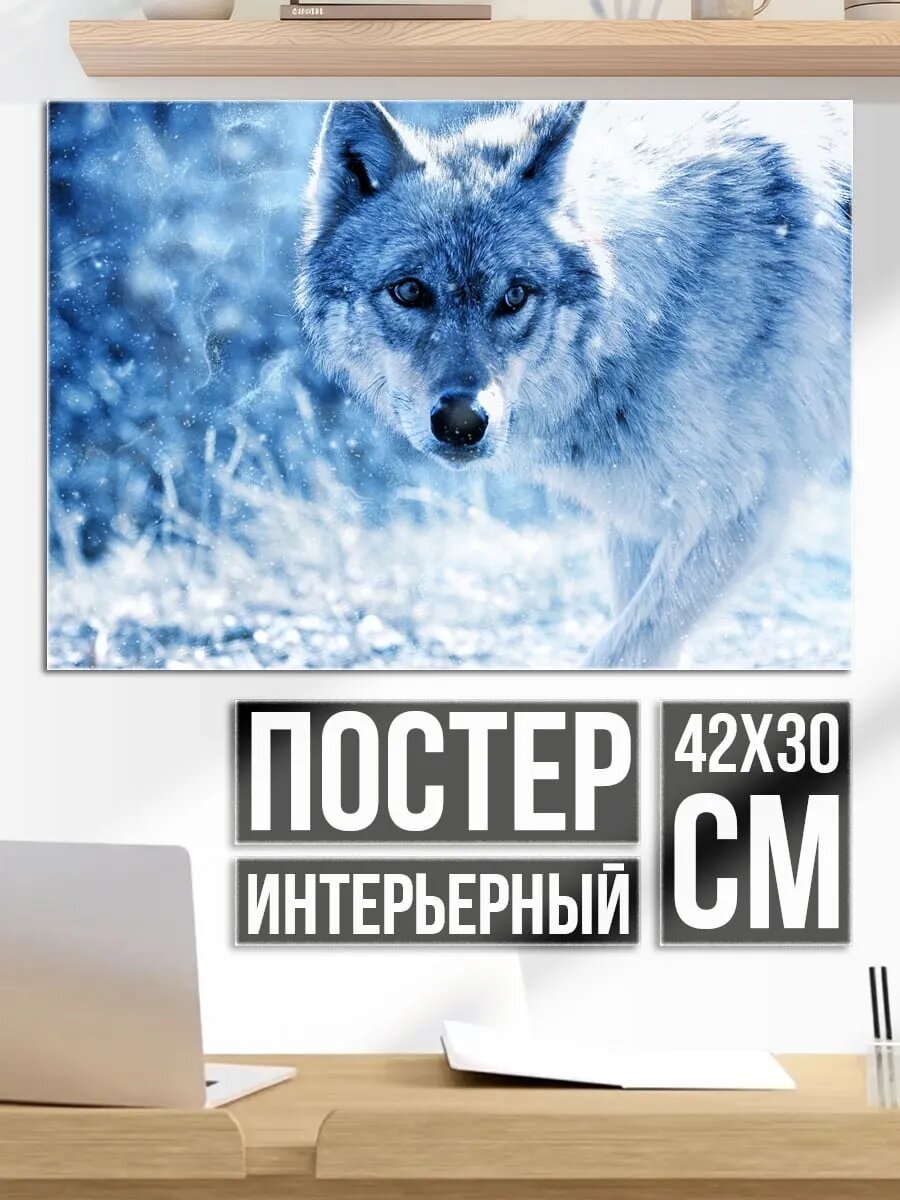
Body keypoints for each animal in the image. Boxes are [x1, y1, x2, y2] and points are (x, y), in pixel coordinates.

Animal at [296, 101, 851, 669]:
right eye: (409, 290)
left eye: (515, 295)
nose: (462, 423)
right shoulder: (642, 520)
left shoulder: (736, 514)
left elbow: (619, 655)